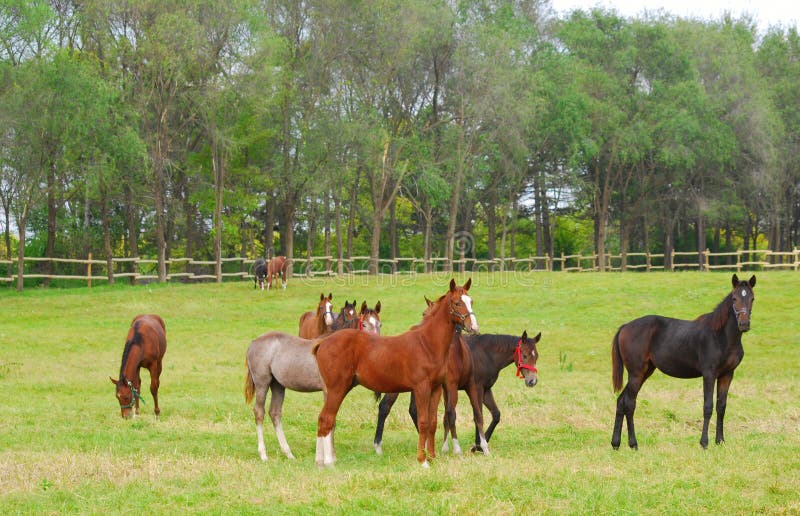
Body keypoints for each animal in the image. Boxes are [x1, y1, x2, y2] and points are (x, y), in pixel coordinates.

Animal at [244, 311, 382, 460]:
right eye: (364, 324)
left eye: (380, 324)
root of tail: (253, 343)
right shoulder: (328, 391)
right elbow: (331, 420)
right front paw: (331, 455)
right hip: (262, 383)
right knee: (259, 412)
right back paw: (263, 454)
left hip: (278, 385)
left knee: (275, 412)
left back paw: (288, 453)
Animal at [312, 278, 478, 467]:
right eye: (457, 303)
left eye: (471, 301)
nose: (473, 327)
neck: (426, 344)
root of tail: (323, 342)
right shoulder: (421, 388)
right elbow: (423, 422)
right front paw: (422, 461)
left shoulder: (435, 389)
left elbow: (433, 422)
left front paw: (432, 457)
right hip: (337, 389)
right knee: (326, 419)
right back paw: (328, 463)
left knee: (324, 419)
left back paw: (320, 461)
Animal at [373, 328, 541, 455]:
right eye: (524, 355)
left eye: (536, 356)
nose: (532, 381)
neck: (486, 354)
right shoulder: (477, 388)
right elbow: (477, 414)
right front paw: (478, 445)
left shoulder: (486, 389)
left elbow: (495, 414)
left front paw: (479, 445)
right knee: (385, 407)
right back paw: (378, 445)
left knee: (413, 410)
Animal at [611, 274, 756, 450]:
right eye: (734, 298)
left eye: (752, 298)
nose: (744, 324)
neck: (720, 336)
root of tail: (625, 327)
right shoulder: (709, 374)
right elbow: (708, 406)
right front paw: (704, 443)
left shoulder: (727, 374)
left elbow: (721, 407)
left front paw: (720, 441)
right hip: (636, 374)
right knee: (629, 404)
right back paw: (633, 444)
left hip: (645, 372)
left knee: (621, 401)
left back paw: (616, 444)